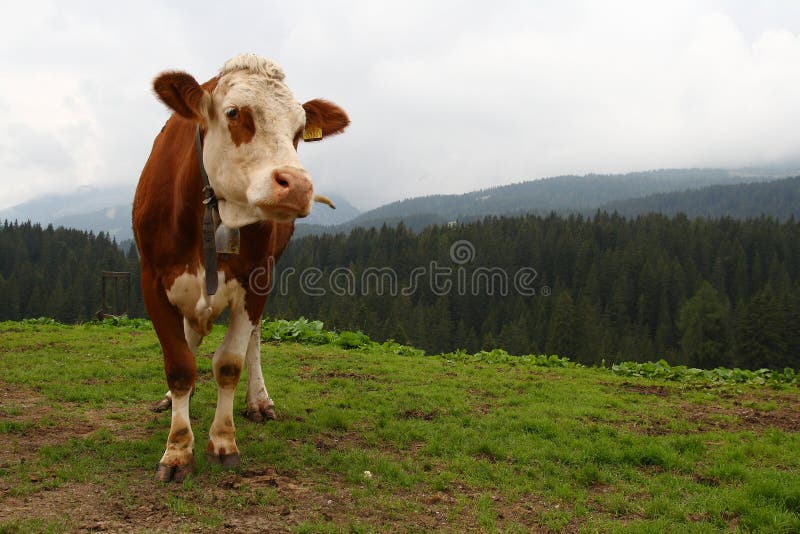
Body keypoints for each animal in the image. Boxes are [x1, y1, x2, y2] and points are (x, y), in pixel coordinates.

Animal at [133, 54, 349, 482]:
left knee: (254, 339)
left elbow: (230, 362)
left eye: (299, 129)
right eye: (234, 112)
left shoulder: (257, 279)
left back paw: (258, 401)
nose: (298, 186)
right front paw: (177, 450)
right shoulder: (152, 278)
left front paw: (222, 442)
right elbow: (179, 364)